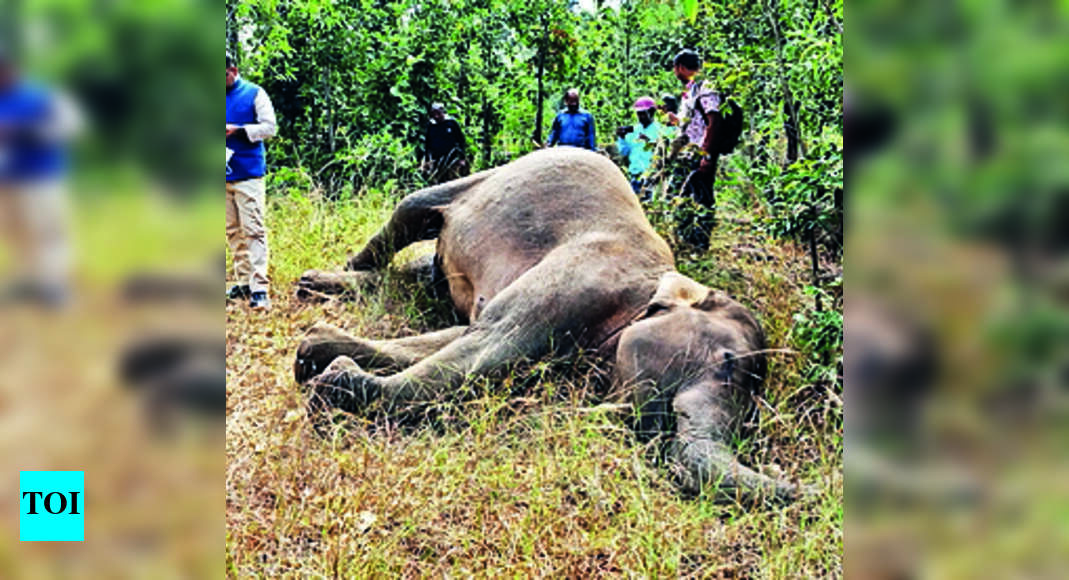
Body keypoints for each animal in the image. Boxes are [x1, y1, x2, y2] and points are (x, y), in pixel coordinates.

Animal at [294, 147, 802, 502]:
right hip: (489, 177)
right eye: (728, 361)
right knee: (413, 210)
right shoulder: (582, 277)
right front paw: (334, 384)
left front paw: (317, 351)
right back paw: (335, 273)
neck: (655, 283)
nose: (793, 482)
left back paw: (316, 284)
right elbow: (489, 346)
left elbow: (460, 336)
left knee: (420, 277)